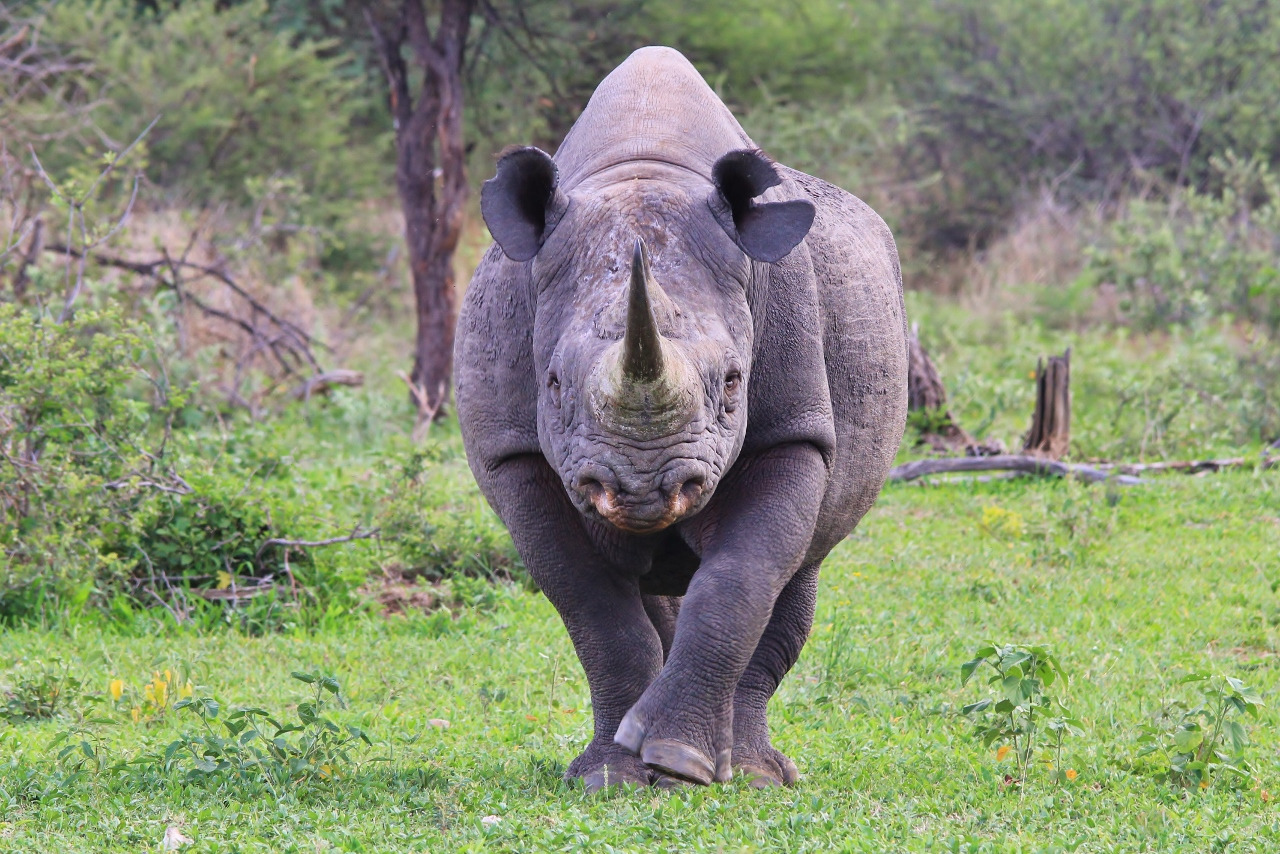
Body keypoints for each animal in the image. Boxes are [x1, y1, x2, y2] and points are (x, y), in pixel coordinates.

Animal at [454, 46, 908, 790]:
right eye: (552, 384)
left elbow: (743, 578)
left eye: (732, 384)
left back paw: (743, 774)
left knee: (796, 574)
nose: (643, 487)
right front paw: (611, 777)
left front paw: (675, 758)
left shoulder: (792, 430)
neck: (644, 166)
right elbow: (591, 605)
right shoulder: (513, 451)